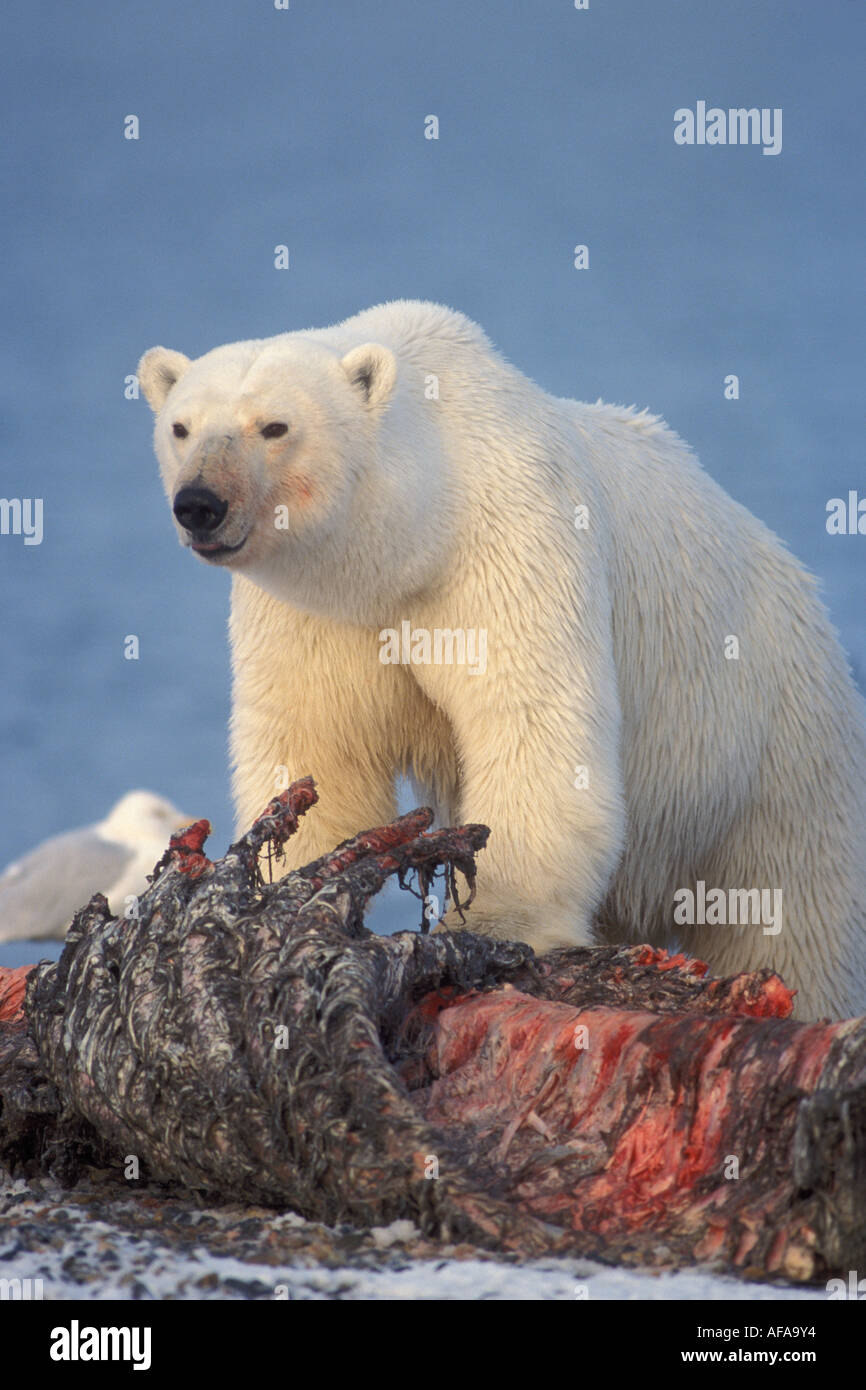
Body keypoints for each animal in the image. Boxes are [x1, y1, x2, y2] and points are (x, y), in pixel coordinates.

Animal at [139, 300, 866, 1020]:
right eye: (181, 427)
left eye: (275, 426)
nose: (199, 504)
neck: (410, 537)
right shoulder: (312, 610)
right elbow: (318, 739)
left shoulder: (508, 542)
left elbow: (531, 718)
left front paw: (494, 924)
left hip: (776, 749)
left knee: (791, 912)